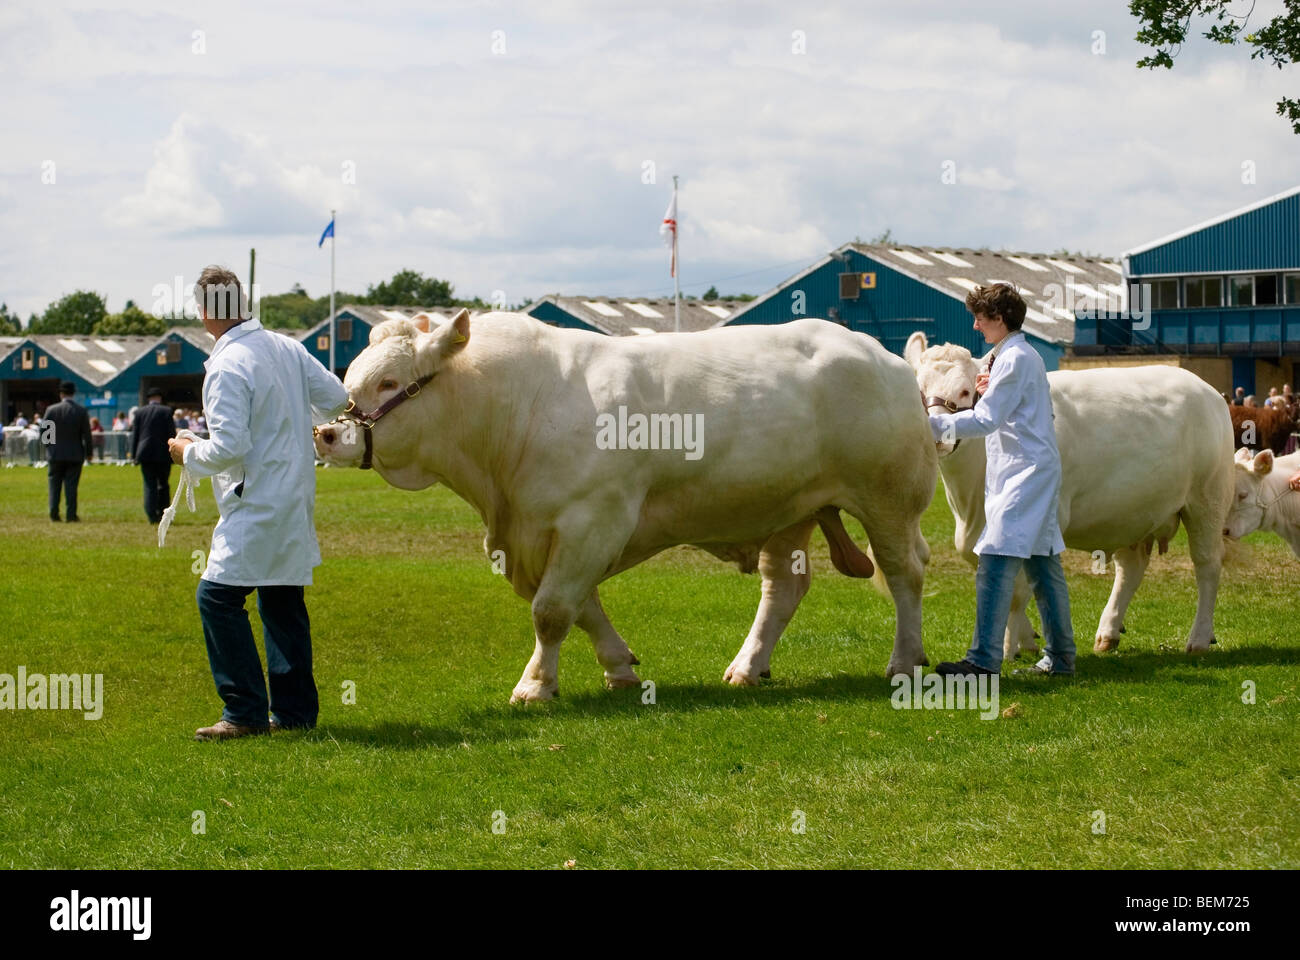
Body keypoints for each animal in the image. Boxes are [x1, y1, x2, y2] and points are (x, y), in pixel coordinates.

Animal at [314, 310, 937, 702]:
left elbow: (552, 609)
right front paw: (618, 668)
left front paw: (535, 686)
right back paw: (747, 667)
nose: (326, 434)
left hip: (888, 498)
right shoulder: (549, 533)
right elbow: (581, 606)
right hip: (790, 508)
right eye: (352, 376)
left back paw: (904, 660)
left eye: (388, 381)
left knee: (904, 574)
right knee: (783, 588)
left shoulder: (593, 519)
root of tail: (884, 357)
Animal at [904, 332, 1233, 658]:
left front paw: (1007, 649)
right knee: (1131, 568)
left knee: (1207, 563)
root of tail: (1205, 388)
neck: (969, 503)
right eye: (918, 391)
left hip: (1207, 498)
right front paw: (1026, 639)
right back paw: (1108, 632)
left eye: (964, 391)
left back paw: (1199, 638)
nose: (937, 437)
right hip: (1133, 510)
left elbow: (1016, 590)